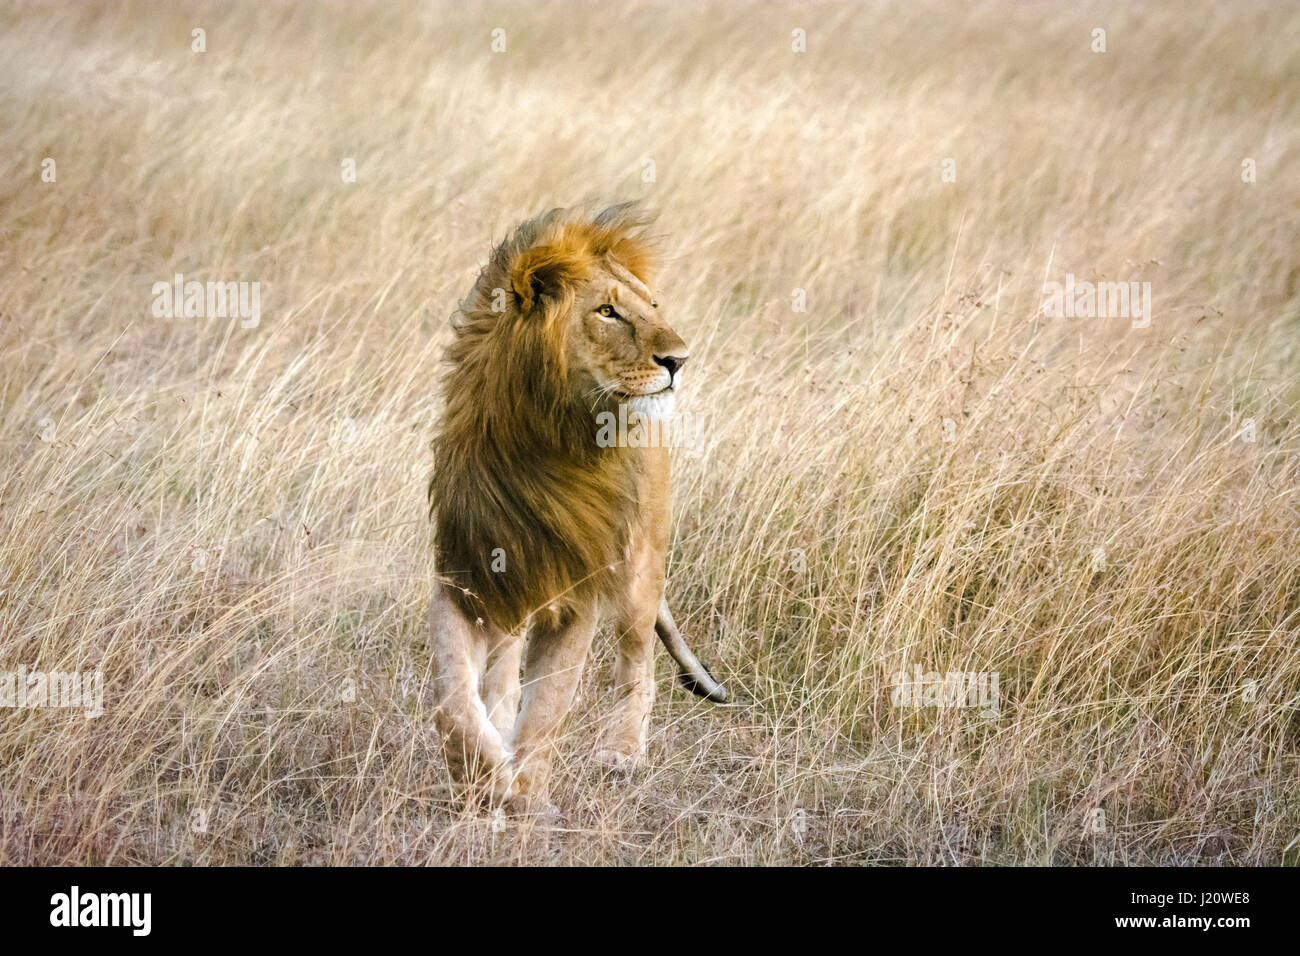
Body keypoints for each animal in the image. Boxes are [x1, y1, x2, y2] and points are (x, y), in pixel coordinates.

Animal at [427, 203, 727, 811]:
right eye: (607, 311)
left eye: (652, 307)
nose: (680, 360)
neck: (549, 442)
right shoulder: (465, 574)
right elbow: (455, 702)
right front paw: (486, 776)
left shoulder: (579, 590)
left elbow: (549, 706)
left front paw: (522, 795)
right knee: (502, 671)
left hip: (639, 568)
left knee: (637, 660)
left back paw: (621, 752)